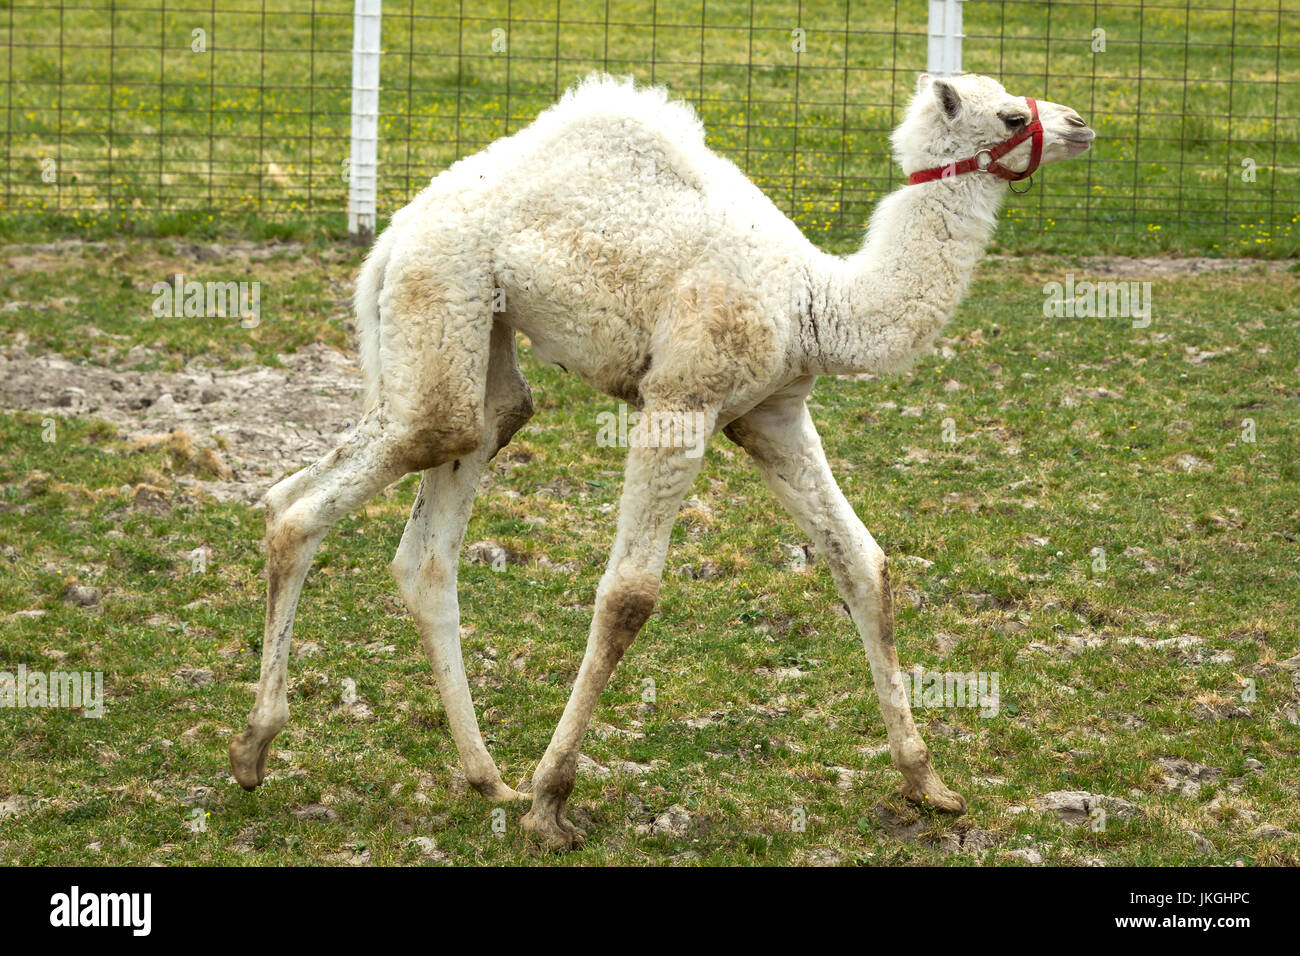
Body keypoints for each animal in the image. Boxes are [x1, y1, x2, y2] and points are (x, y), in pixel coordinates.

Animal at [228, 72, 1094, 849]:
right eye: (1011, 114)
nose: (1081, 122)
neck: (816, 299)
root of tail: (392, 237)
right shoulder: (681, 402)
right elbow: (629, 597)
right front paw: (553, 802)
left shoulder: (773, 414)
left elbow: (862, 562)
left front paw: (929, 784)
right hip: (441, 301)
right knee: (306, 504)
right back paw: (255, 750)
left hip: (482, 356)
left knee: (427, 540)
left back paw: (485, 777)